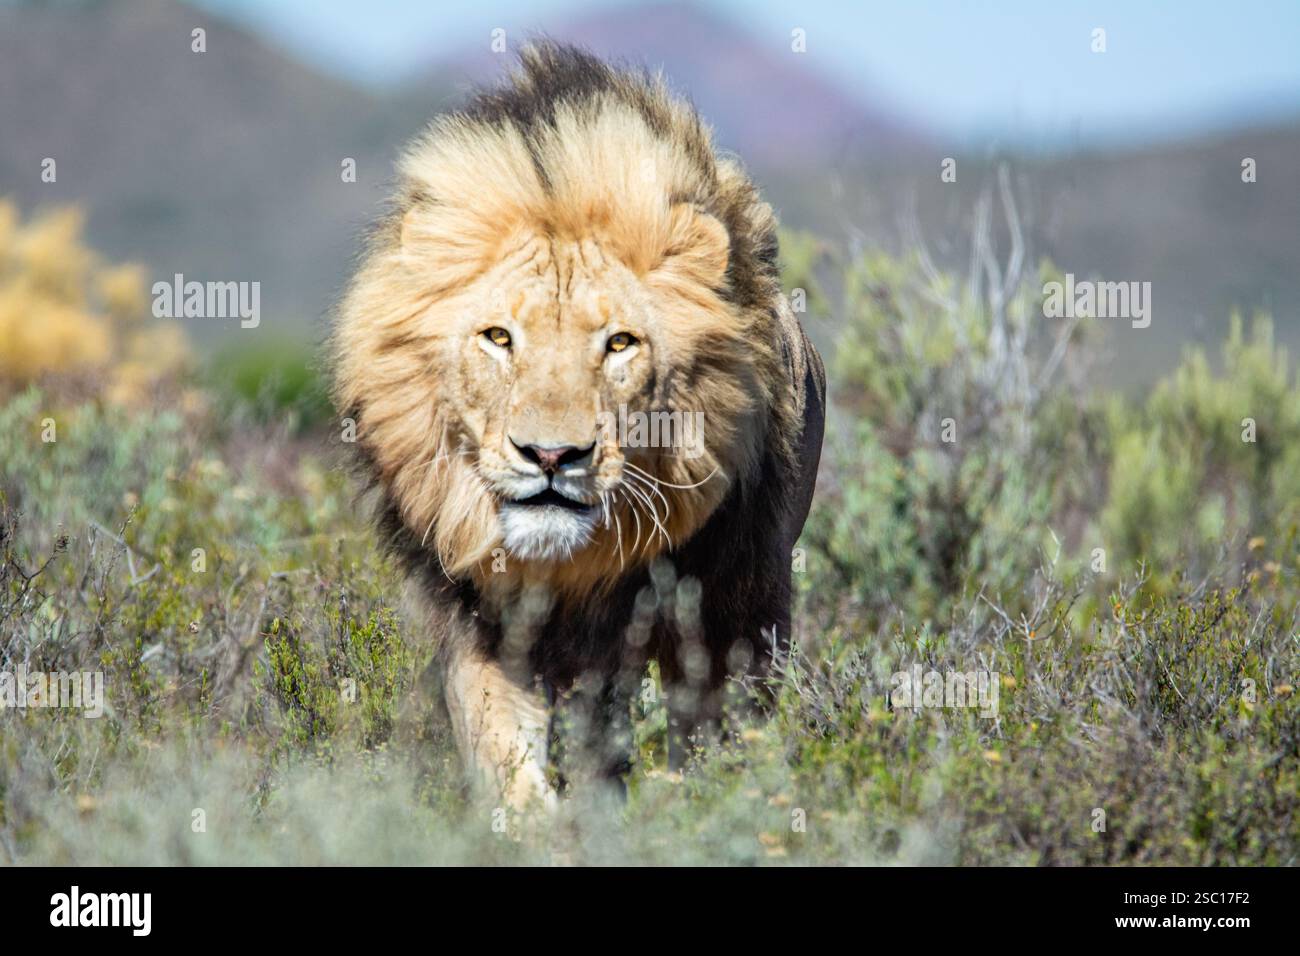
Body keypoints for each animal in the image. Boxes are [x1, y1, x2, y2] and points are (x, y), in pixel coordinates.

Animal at [331, 43, 825, 809]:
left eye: (620, 343)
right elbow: (506, 759)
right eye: (499, 338)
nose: (552, 455)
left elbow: (713, 742)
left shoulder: (734, 609)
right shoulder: (482, 622)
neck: (569, 572)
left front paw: (708, 812)